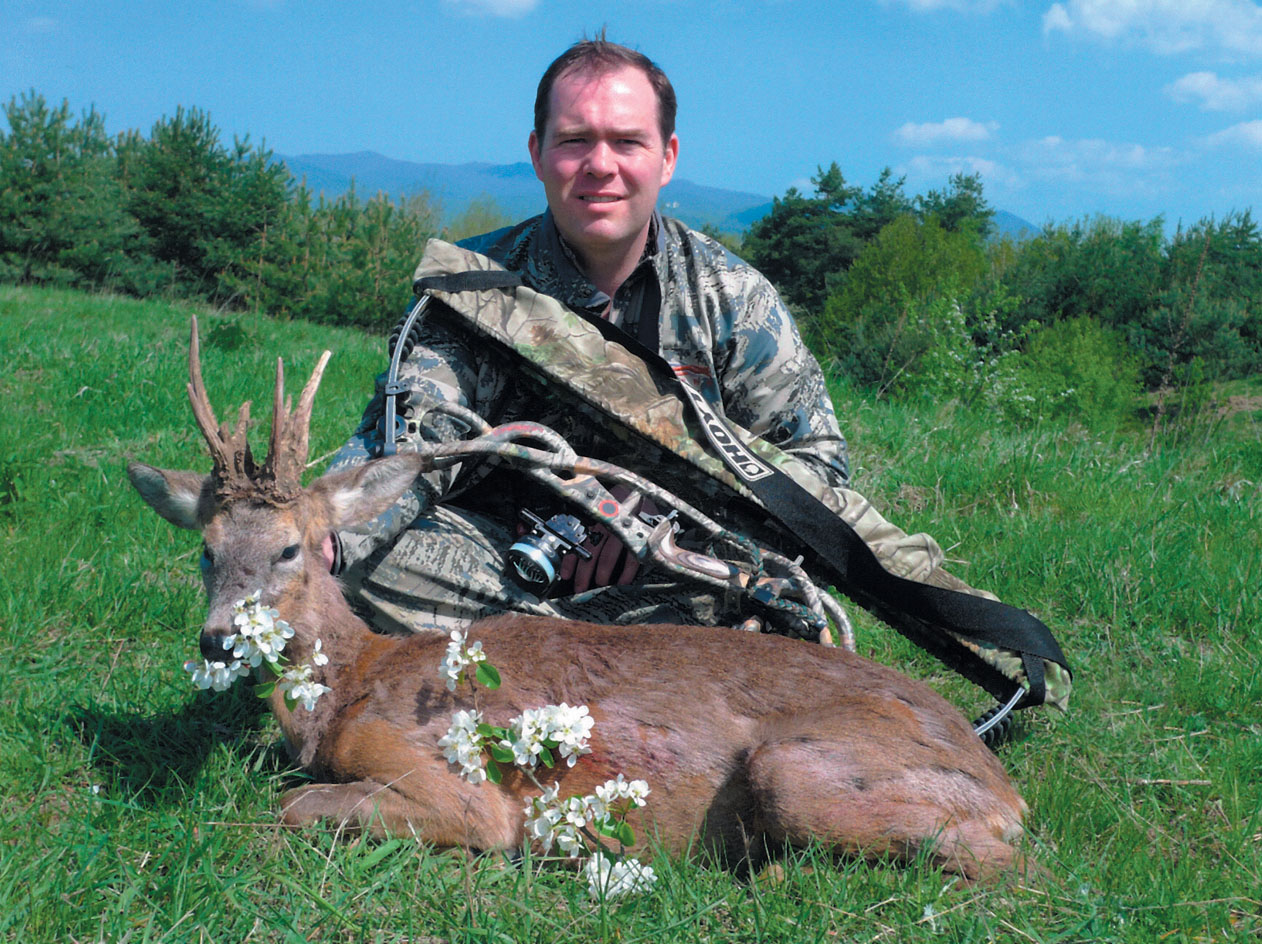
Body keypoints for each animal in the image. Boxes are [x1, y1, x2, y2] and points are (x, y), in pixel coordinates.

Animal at [126, 318, 1034, 883]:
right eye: (206, 551)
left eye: (290, 548)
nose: (216, 640)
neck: (349, 687)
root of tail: (1008, 788)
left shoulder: (454, 786)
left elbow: (298, 807)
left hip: (799, 770)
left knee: (1008, 868)